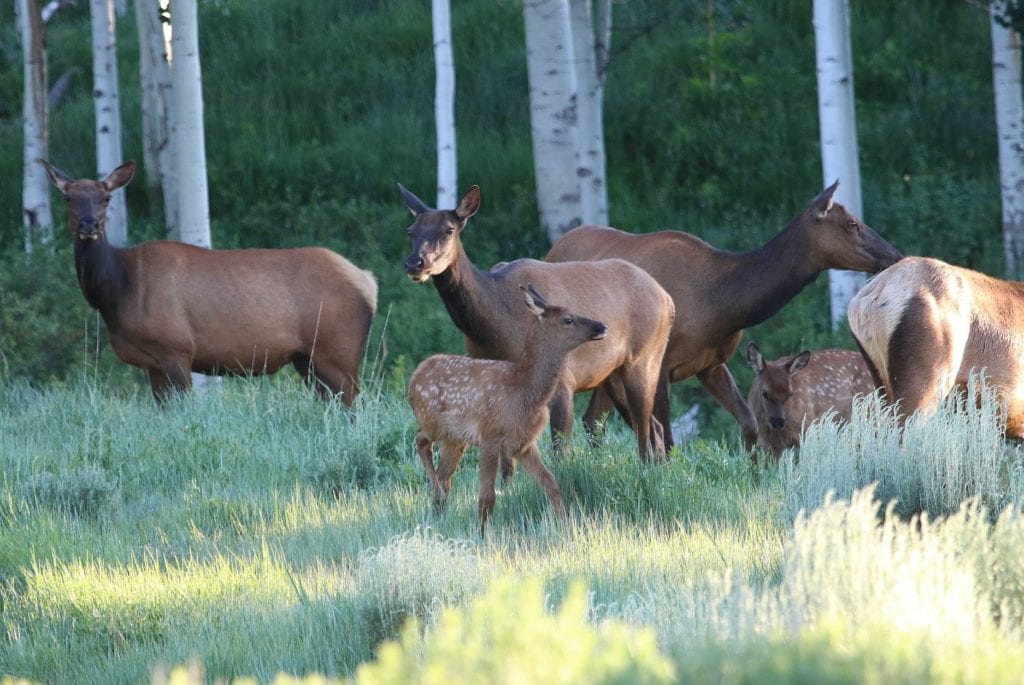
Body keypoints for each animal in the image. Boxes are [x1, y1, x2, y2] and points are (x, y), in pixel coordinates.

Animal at [42, 160, 378, 405]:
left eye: (106, 197)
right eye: (68, 197)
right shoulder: (152, 364)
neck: (119, 293)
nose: (88, 225)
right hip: (307, 358)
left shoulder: (176, 349)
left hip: (338, 349)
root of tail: (369, 282)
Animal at [399, 183, 674, 465]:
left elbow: (561, 450)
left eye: (448, 230)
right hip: (612, 374)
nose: (414, 263)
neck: (495, 328)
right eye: (411, 230)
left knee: (645, 429)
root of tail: (667, 299)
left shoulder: (563, 382)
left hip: (645, 359)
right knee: (653, 426)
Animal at [408, 284, 607, 534]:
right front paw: (482, 534)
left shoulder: (522, 444)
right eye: (568, 320)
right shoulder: (490, 436)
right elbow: (487, 496)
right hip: (432, 420)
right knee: (421, 442)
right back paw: (437, 496)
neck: (523, 393)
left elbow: (551, 482)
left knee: (445, 475)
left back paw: (439, 512)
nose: (602, 326)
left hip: (455, 440)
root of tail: (414, 377)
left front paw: (565, 524)